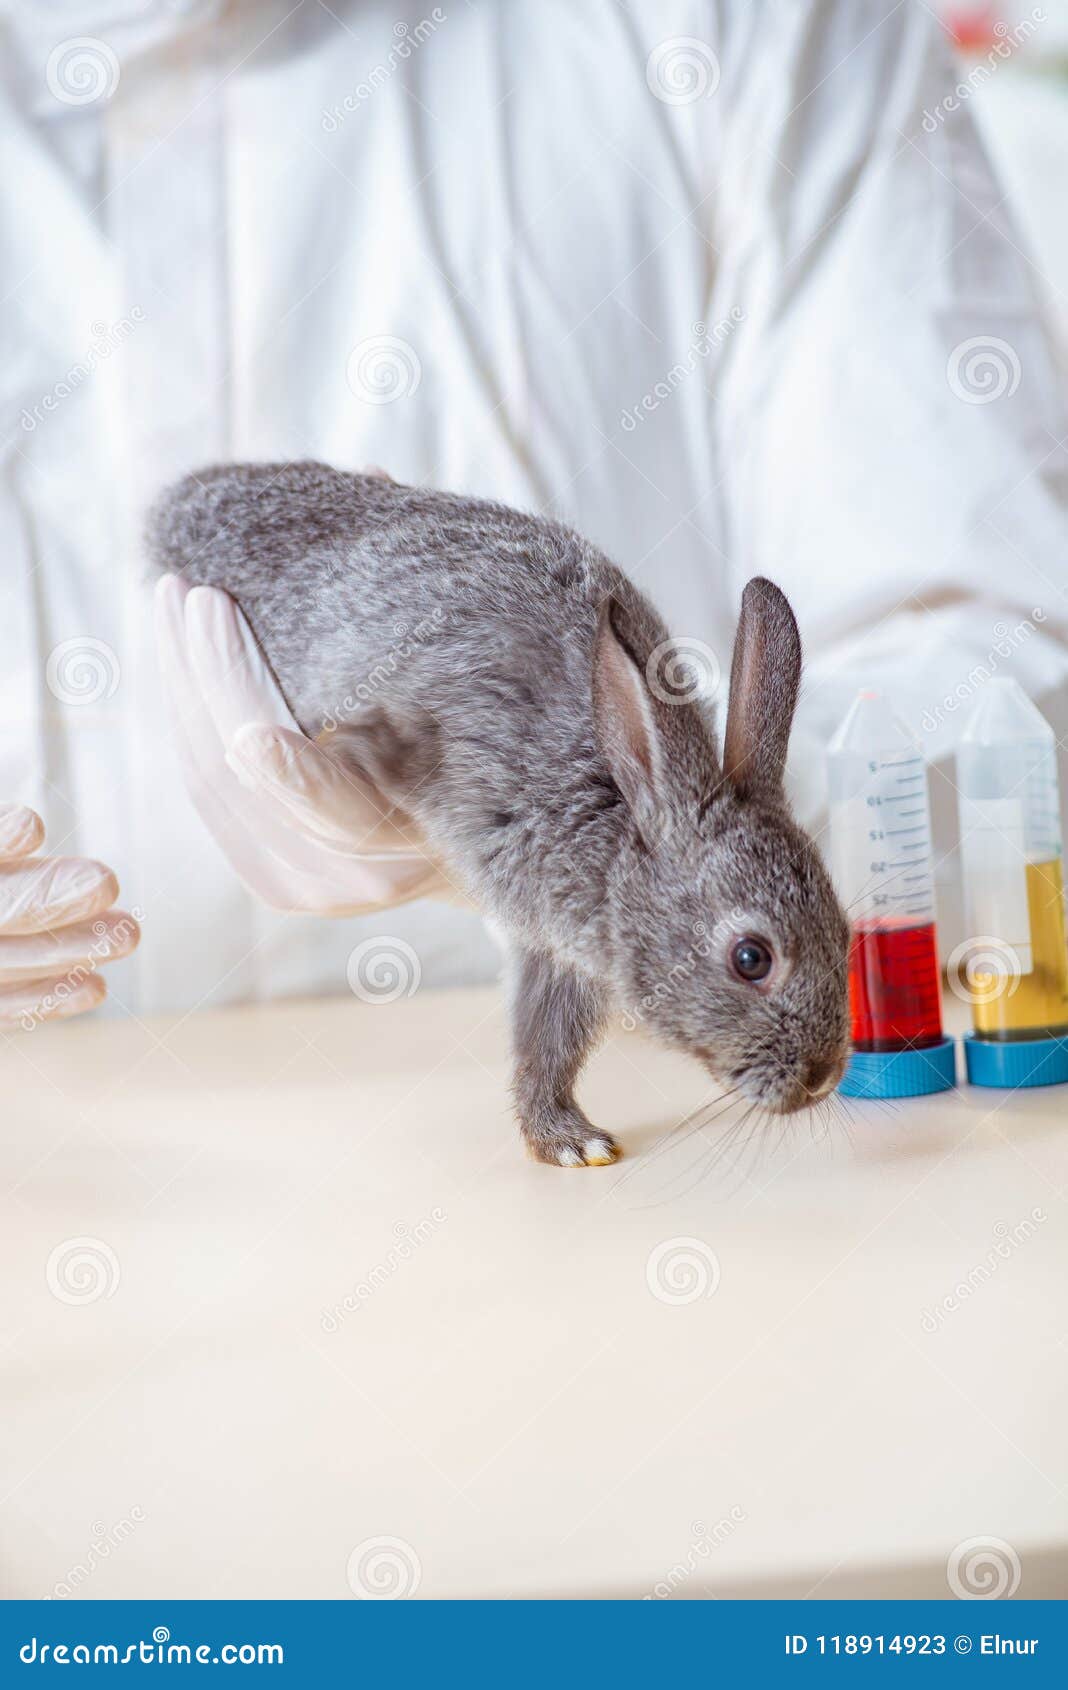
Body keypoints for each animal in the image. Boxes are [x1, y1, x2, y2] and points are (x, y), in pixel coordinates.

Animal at [148, 461, 852, 1166]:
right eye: (751, 958)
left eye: (844, 934)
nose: (822, 1078)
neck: (617, 811)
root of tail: (174, 504)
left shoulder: (555, 944)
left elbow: (546, 1047)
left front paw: (570, 1140)